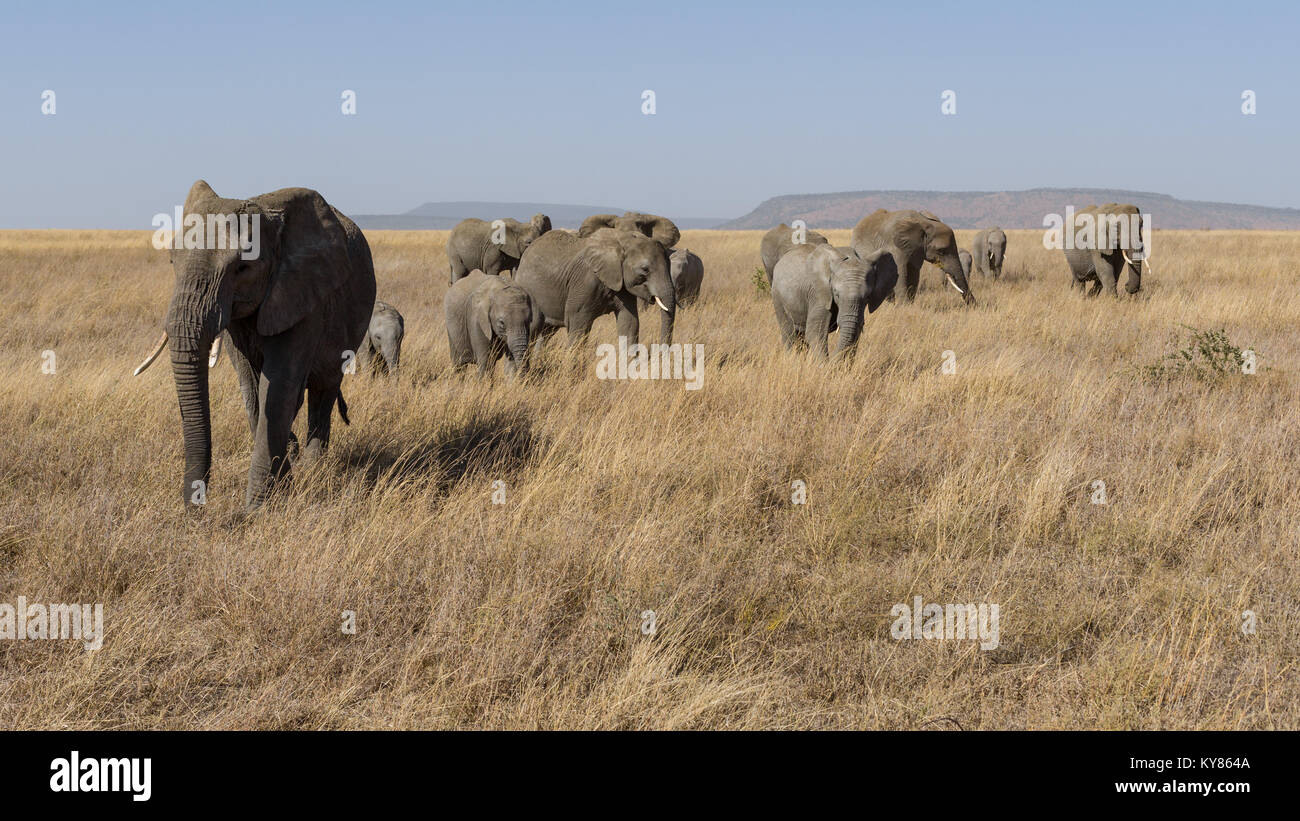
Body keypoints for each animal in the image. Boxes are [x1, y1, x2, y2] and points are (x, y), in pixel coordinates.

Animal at [133, 180, 376, 510]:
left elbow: (278, 389)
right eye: (172, 261)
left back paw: (313, 467)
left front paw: (258, 508)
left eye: (242, 268)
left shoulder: (303, 295)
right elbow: (251, 388)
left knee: (324, 389)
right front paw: (281, 485)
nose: (197, 509)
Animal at [514, 227, 676, 350]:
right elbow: (578, 325)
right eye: (645, 269)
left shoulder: (622, 285)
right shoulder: (584, 282)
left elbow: (629, 323)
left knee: (546, 333)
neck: (623, 241)